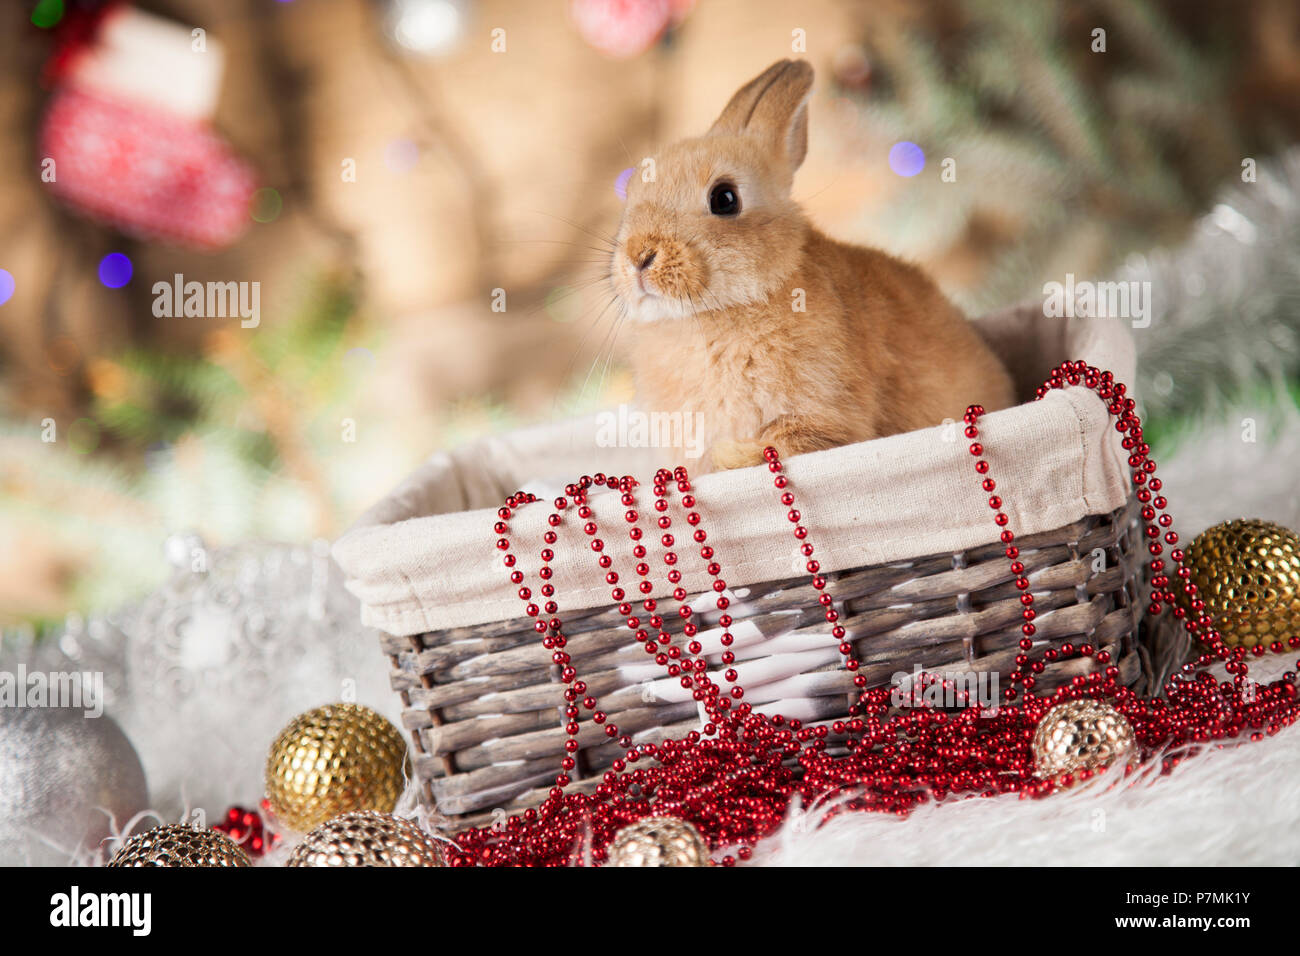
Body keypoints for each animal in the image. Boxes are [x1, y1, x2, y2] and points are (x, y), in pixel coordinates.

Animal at [608, 58, 1017, 472]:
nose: (638, 257)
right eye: (632, 192)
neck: (712, 315)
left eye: (724, 199)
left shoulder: (821, 423)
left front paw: (731, 454)